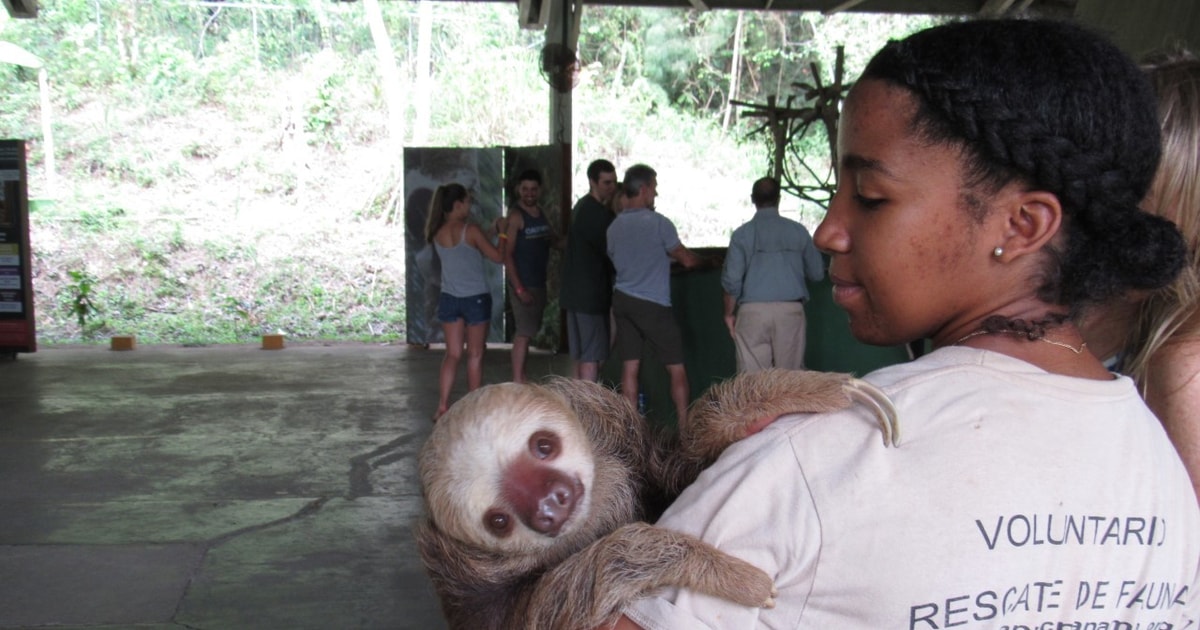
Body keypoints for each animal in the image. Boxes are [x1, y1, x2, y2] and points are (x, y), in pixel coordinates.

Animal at [415, 370, 898, 630]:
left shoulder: (627, 439)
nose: (550, 504)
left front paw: (793, 393)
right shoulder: (473, 596)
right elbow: (552, 604)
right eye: (497, 520)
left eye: (543, 446)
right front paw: (733, 574)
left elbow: (678, 468)